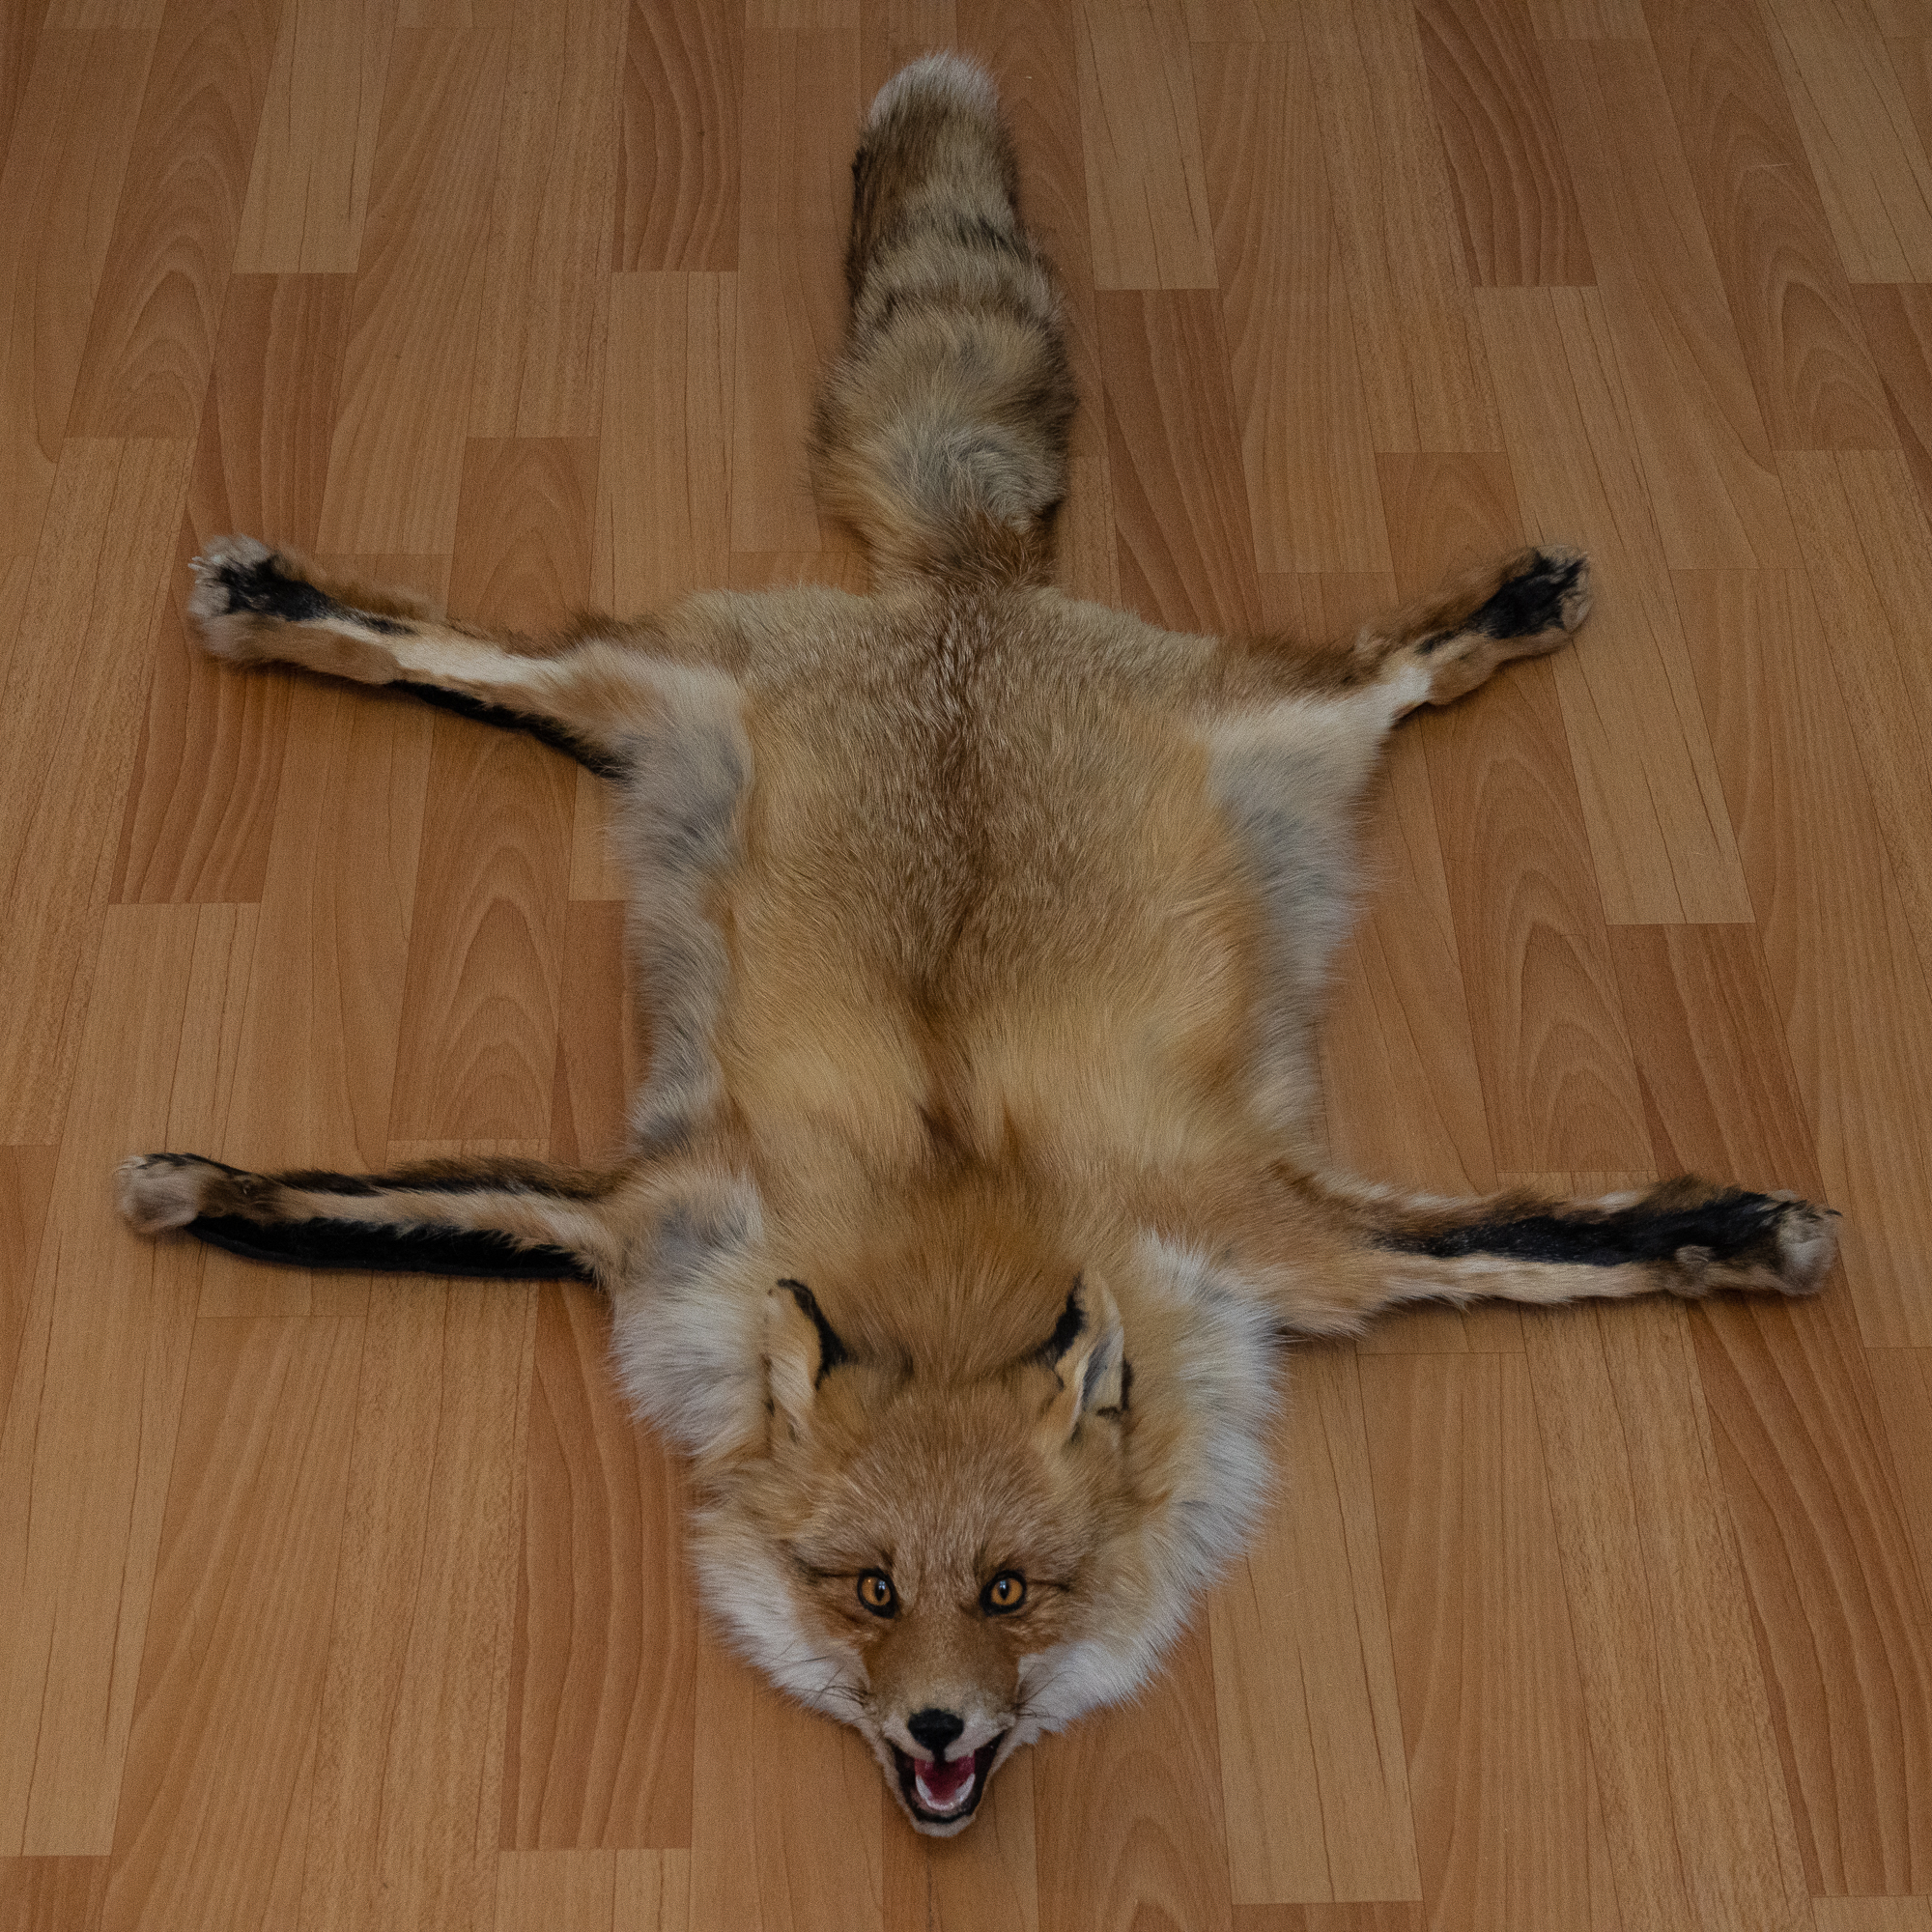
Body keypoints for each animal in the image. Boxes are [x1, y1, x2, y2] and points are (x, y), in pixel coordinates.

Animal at [115, 53, 1837, 1836]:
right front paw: (209, 1189)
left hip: (1260, 725)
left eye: (1013, 1592)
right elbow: (409, 1206)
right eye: (867, 1590)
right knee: (460, 652)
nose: (939, 1727)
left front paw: (1731, 1228)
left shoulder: (1273, 1238)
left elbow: (1537, 1239)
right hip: (647, 699)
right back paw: (277, 605)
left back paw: (1505, 611)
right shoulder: (660, 1214)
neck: (953, 1230)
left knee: (1388, 665)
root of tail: (968, 595)